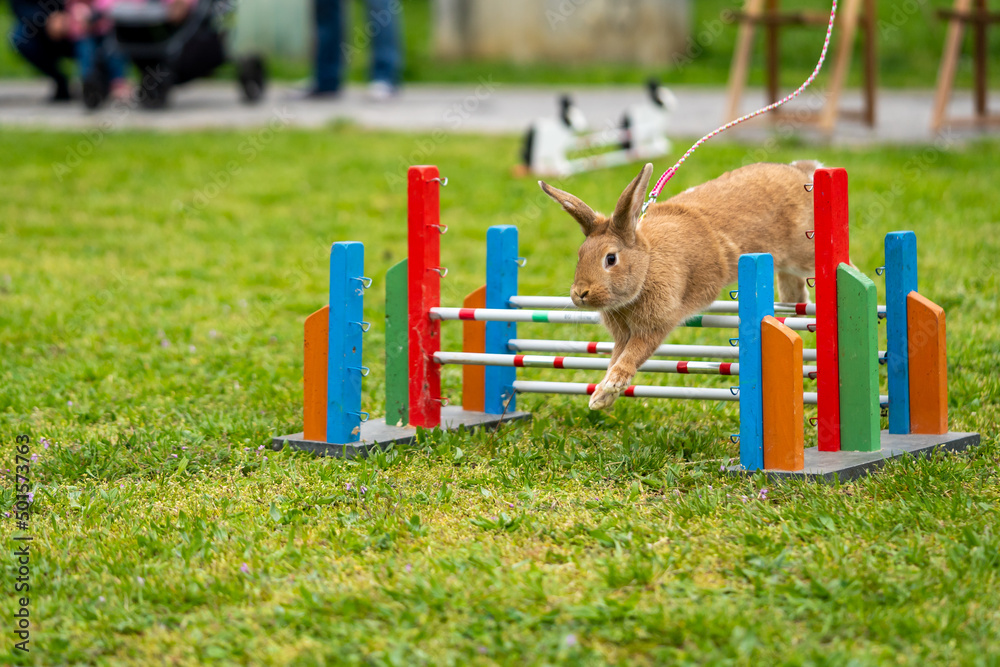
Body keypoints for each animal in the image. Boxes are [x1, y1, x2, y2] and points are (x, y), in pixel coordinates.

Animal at [539, 160, 819, 410]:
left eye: (610, 259)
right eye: (580, 255)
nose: (580, 294)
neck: (647, 266)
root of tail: (798, 172)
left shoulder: (655, 325)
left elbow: (631, 356)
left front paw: (610, 386)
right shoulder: (623, 335)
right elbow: (616, 356)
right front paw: (601, 397)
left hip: (801, 251)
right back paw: (794, 306)